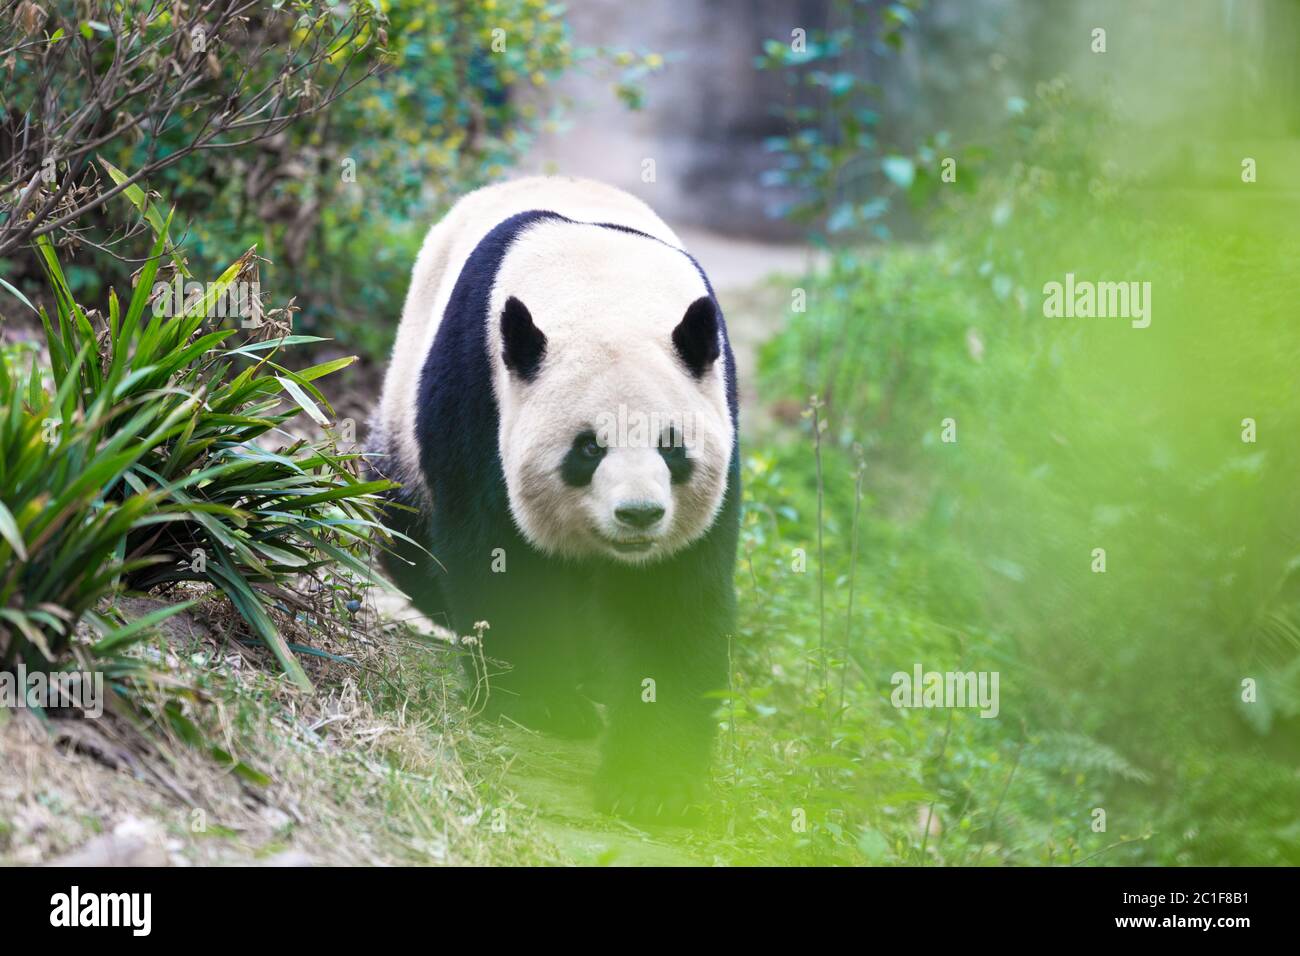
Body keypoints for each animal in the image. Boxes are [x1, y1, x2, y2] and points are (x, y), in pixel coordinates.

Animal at [370, 176, 740, 820]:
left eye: (671, 446)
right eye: (588, 448)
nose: (638, 515)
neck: (603, 287)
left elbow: (671, 598)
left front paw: (653, 781)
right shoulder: (479, 393)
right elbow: (499, 554)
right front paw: (541, 701)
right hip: (402, 422)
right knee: (406, 534)